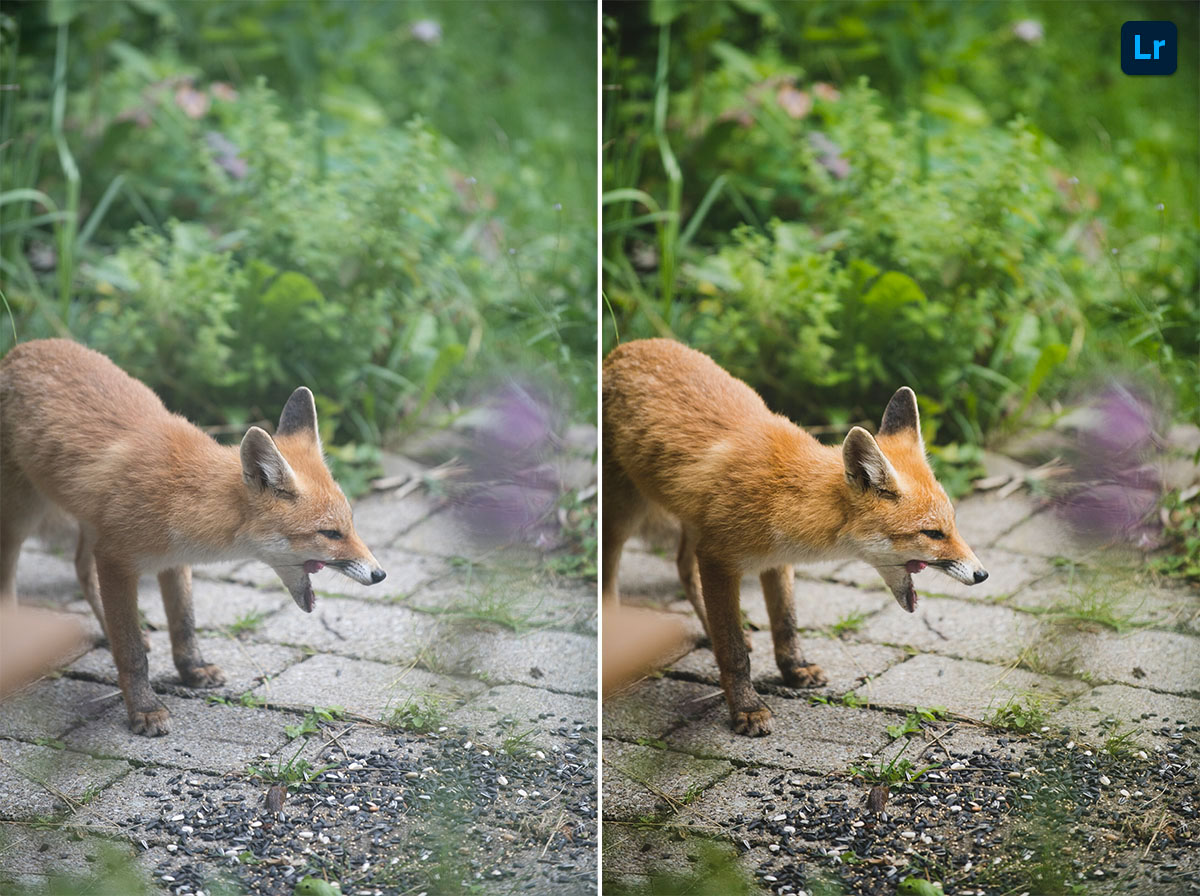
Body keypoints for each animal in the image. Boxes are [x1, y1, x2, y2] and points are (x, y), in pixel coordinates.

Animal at [0, 339, 386, 736]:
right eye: (330, 533)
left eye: (351, 524)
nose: (380, 574)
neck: (182, 496)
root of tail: (25, 346)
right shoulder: (116, 560)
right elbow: (132, 653)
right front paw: (145, 708)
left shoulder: (172, 560)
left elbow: (183, 623)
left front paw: (192, 669)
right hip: (22, 514)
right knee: (11, 570)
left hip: (87, 522)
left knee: (80, 568)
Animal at [603, 339, 987, 736]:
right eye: (932, 533)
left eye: (953, 525)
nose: (982, 574)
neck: (784, 497)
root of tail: (628, 346)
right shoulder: (719, 560)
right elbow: (734, 651)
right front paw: (747, 708)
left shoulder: (775, 560)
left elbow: (785, 623)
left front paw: (794, 669)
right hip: (625, 512)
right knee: (609, 567)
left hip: (691, 521)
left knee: (682, 567)